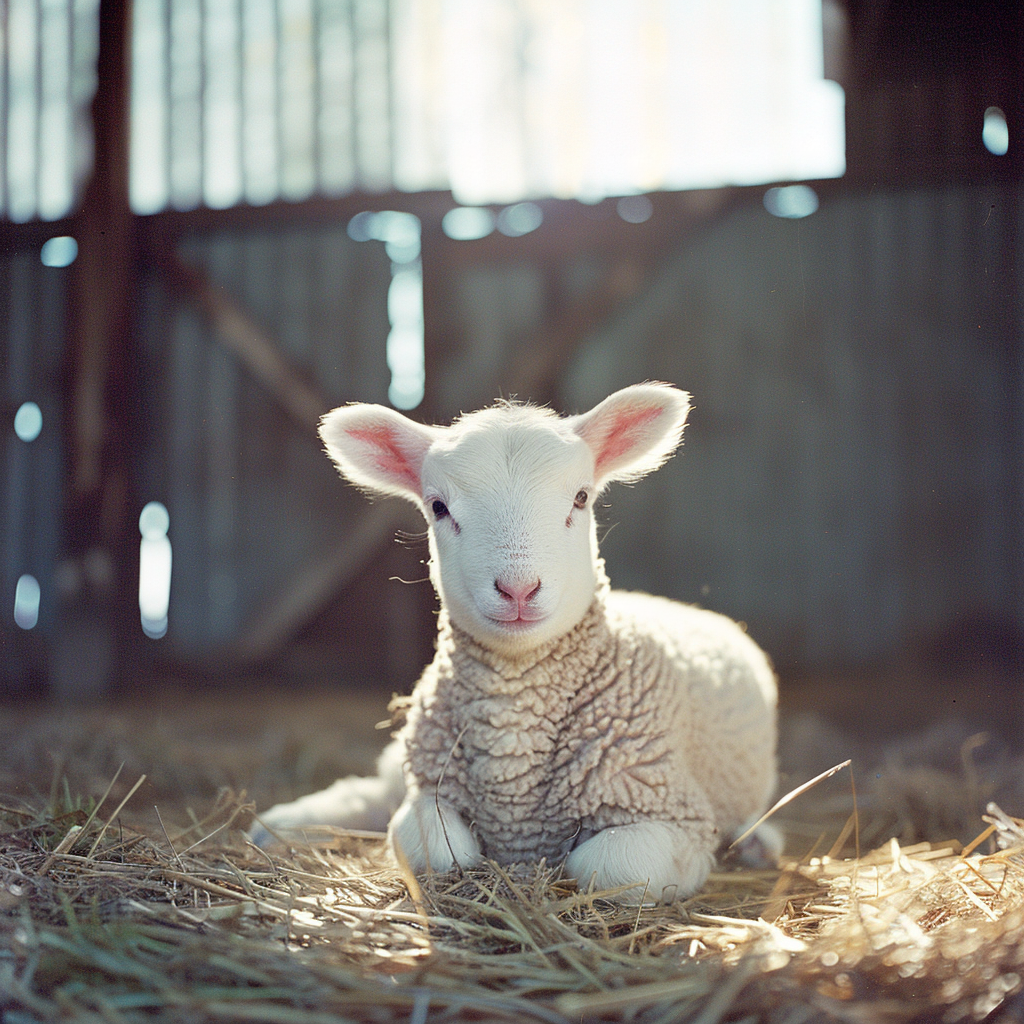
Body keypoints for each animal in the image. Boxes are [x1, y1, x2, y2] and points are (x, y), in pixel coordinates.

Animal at [253, 383, 778, 902]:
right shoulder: (431, 785)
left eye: (581, 497)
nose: (518, 589)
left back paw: (759, 844)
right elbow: (432, 847)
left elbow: (606, 865)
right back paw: (279, 826)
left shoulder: (675, 814)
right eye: (438, 507)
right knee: (373, 793)